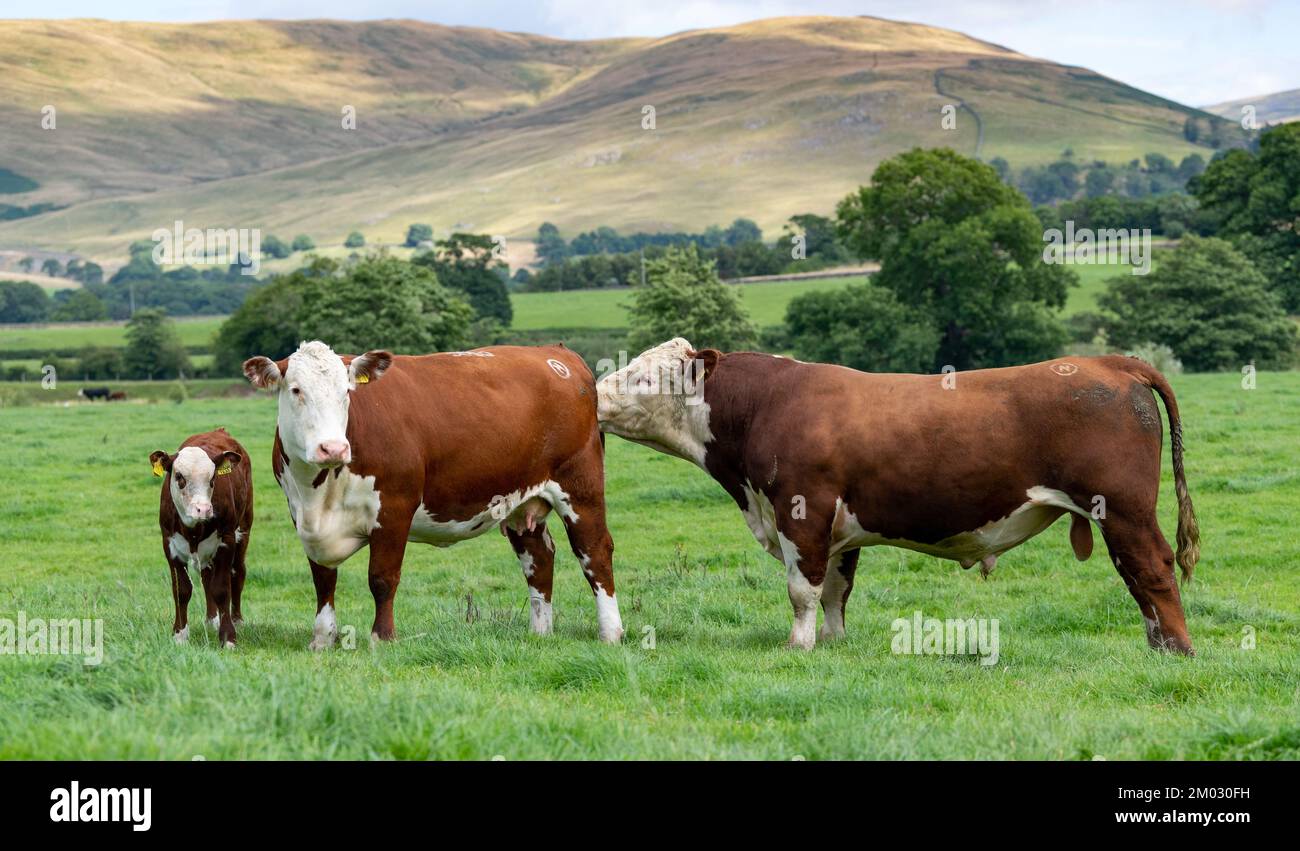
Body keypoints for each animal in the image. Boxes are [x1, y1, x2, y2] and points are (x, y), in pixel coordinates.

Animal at [150, 428, 253, 647]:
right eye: (179, 476)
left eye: (213, 479)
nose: (203, 509)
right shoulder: (169, 544)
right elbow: (181, 589)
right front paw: (179, 634)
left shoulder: (226, 540)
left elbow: (221, 588)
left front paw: (228, 637)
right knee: (206, 577)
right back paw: (211, 619)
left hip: (244, 528)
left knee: (237, 572)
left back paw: (237, 620)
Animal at [241, 340, 623, 649]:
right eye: (295, 390)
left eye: (346, 393)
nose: (332, 448)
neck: (319, 493)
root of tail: (557, 354)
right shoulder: (303, 517)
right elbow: (323, 581)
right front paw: (321, 640)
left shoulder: (394, 510)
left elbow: (382, 579)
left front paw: (383, 639)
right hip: (520, 500)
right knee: (538, 558)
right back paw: (539, 633)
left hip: (580, 485)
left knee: (594, 552)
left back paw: (611, 633)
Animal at [595, 338, 1200, 654]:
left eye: (643, 379)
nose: (594, 394)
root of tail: (1111, 362)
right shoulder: (838, 528)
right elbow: (836, 588)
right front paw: (834, 643)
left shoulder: (802, 511)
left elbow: (802, 589)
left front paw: (799, 646)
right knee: (1134, 574)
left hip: (1124, 508)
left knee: (1153, 569)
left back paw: (1176, 649)